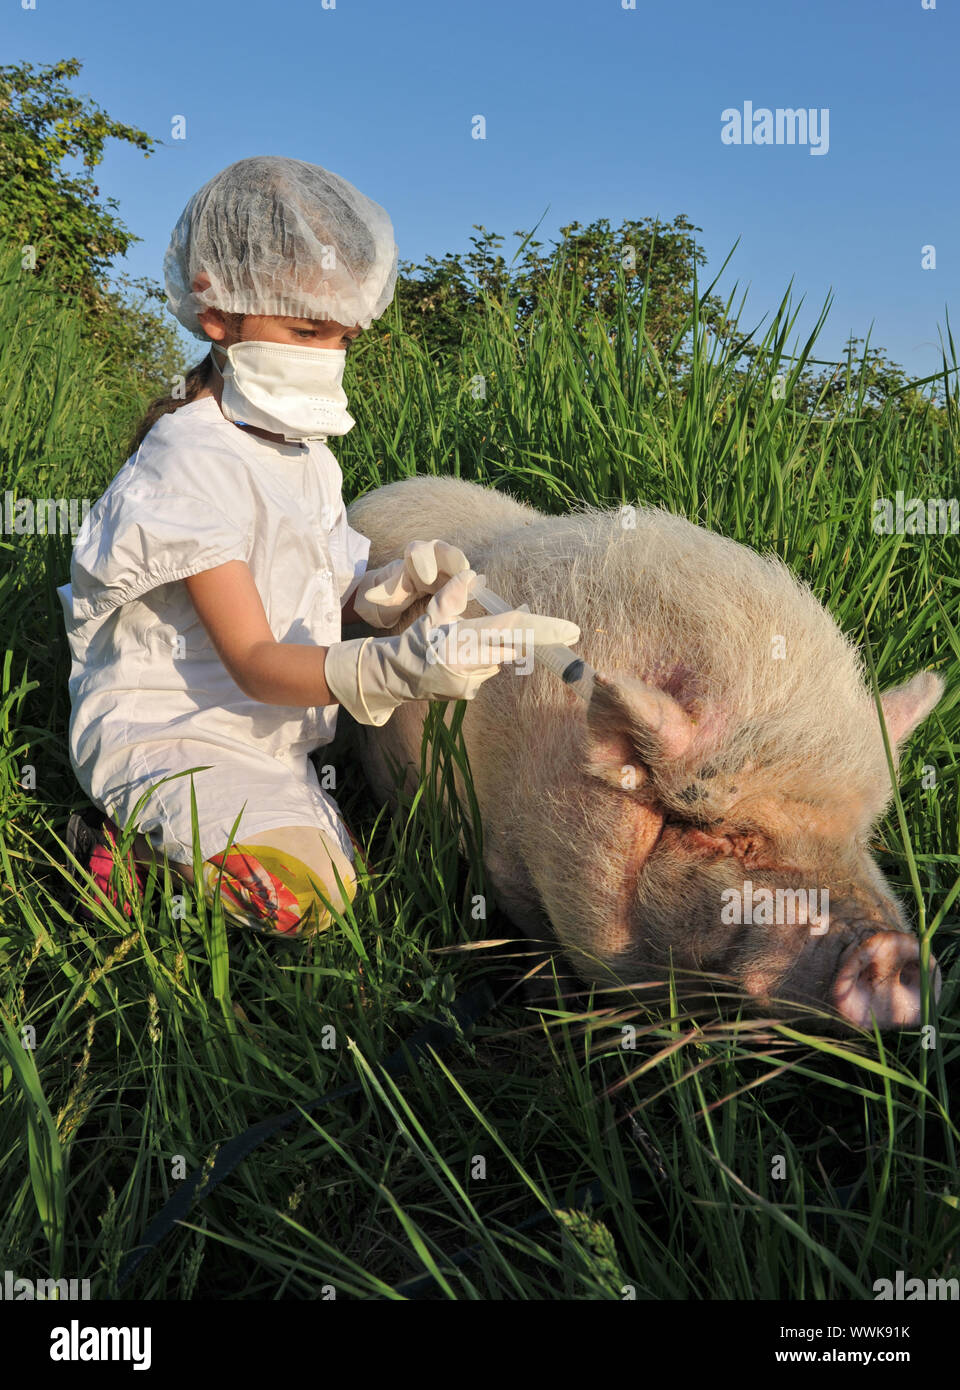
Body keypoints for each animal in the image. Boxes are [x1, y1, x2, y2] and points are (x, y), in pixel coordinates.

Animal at [346, 477, 945, 1031]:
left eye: (860, 836)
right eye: (728, 835)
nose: (895, 951)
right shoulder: (502, 857)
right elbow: (537, 938)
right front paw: (551, 998)